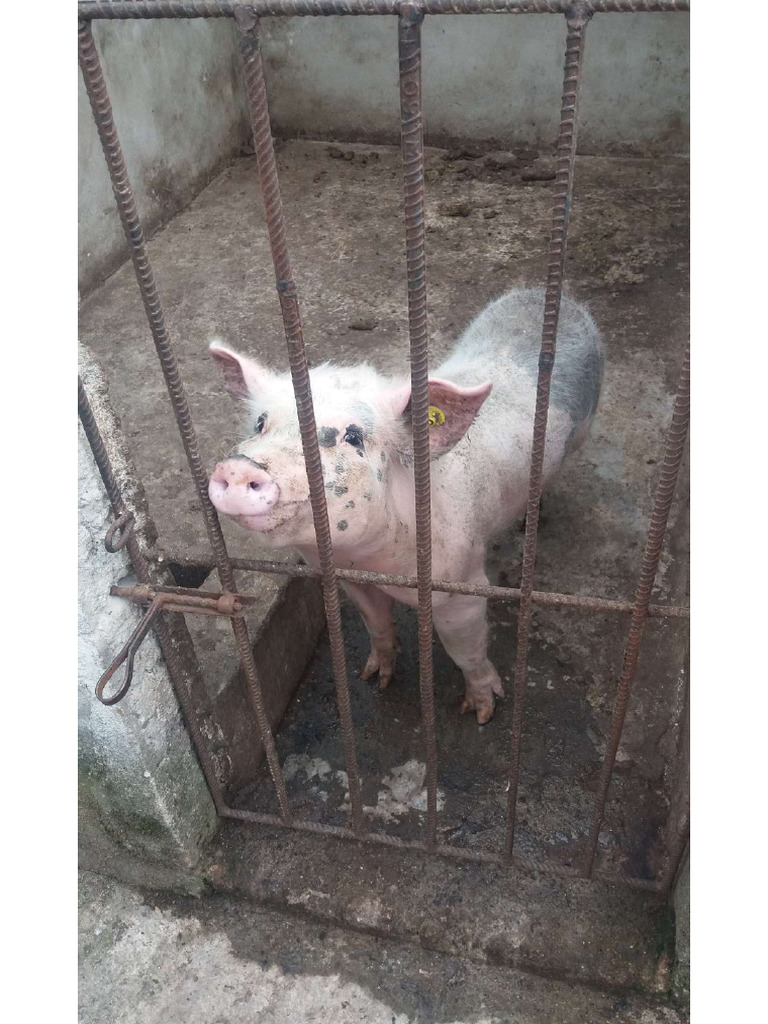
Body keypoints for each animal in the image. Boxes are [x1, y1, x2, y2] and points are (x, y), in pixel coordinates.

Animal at [208, 287, 603, 723]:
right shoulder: (350, 580)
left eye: (352, 436)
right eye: (260, 424)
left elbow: (466, 651)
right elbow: (376, 622)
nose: (238, 466)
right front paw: (375, 678)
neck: (371, 561)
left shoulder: (461, 583)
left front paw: (481, 712)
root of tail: (551, 295)